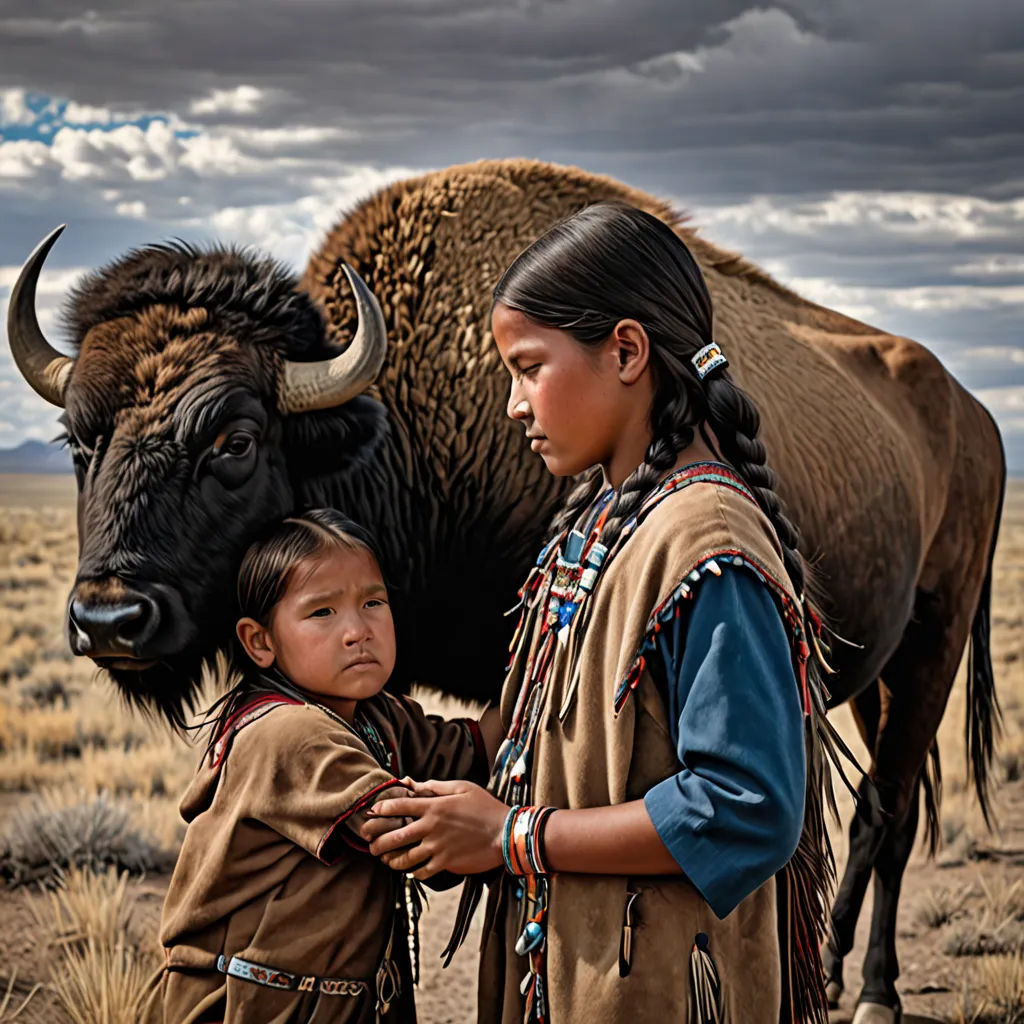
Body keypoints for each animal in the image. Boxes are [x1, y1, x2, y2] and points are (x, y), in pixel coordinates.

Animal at [6, 158, 1005, 1020]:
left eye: (236, 440)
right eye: (79, 440)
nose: (109, 617)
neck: (398, 425)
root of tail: (974, 414)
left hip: (936, 642)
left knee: (888, 809)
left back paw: (871, 992)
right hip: (878, 670)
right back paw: (829, 974)